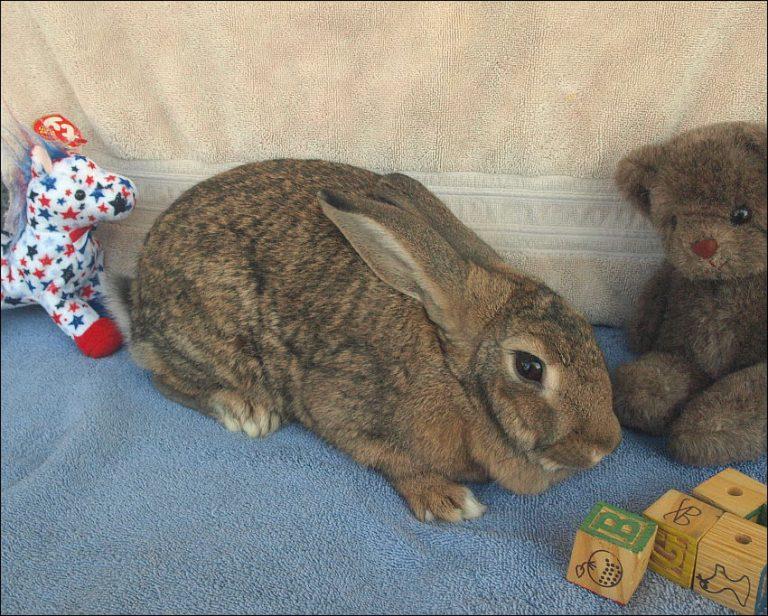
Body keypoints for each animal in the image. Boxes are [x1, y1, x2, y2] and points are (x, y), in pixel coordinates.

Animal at [107, 159, 621, 522]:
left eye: (589, 334)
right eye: (530, 367)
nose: (607, 445)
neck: (454, 381)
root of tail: (137, 298)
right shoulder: (339, 407)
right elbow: (388, 457)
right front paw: (447, 499)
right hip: (214, 337)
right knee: (163, 378)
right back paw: (246, 411)